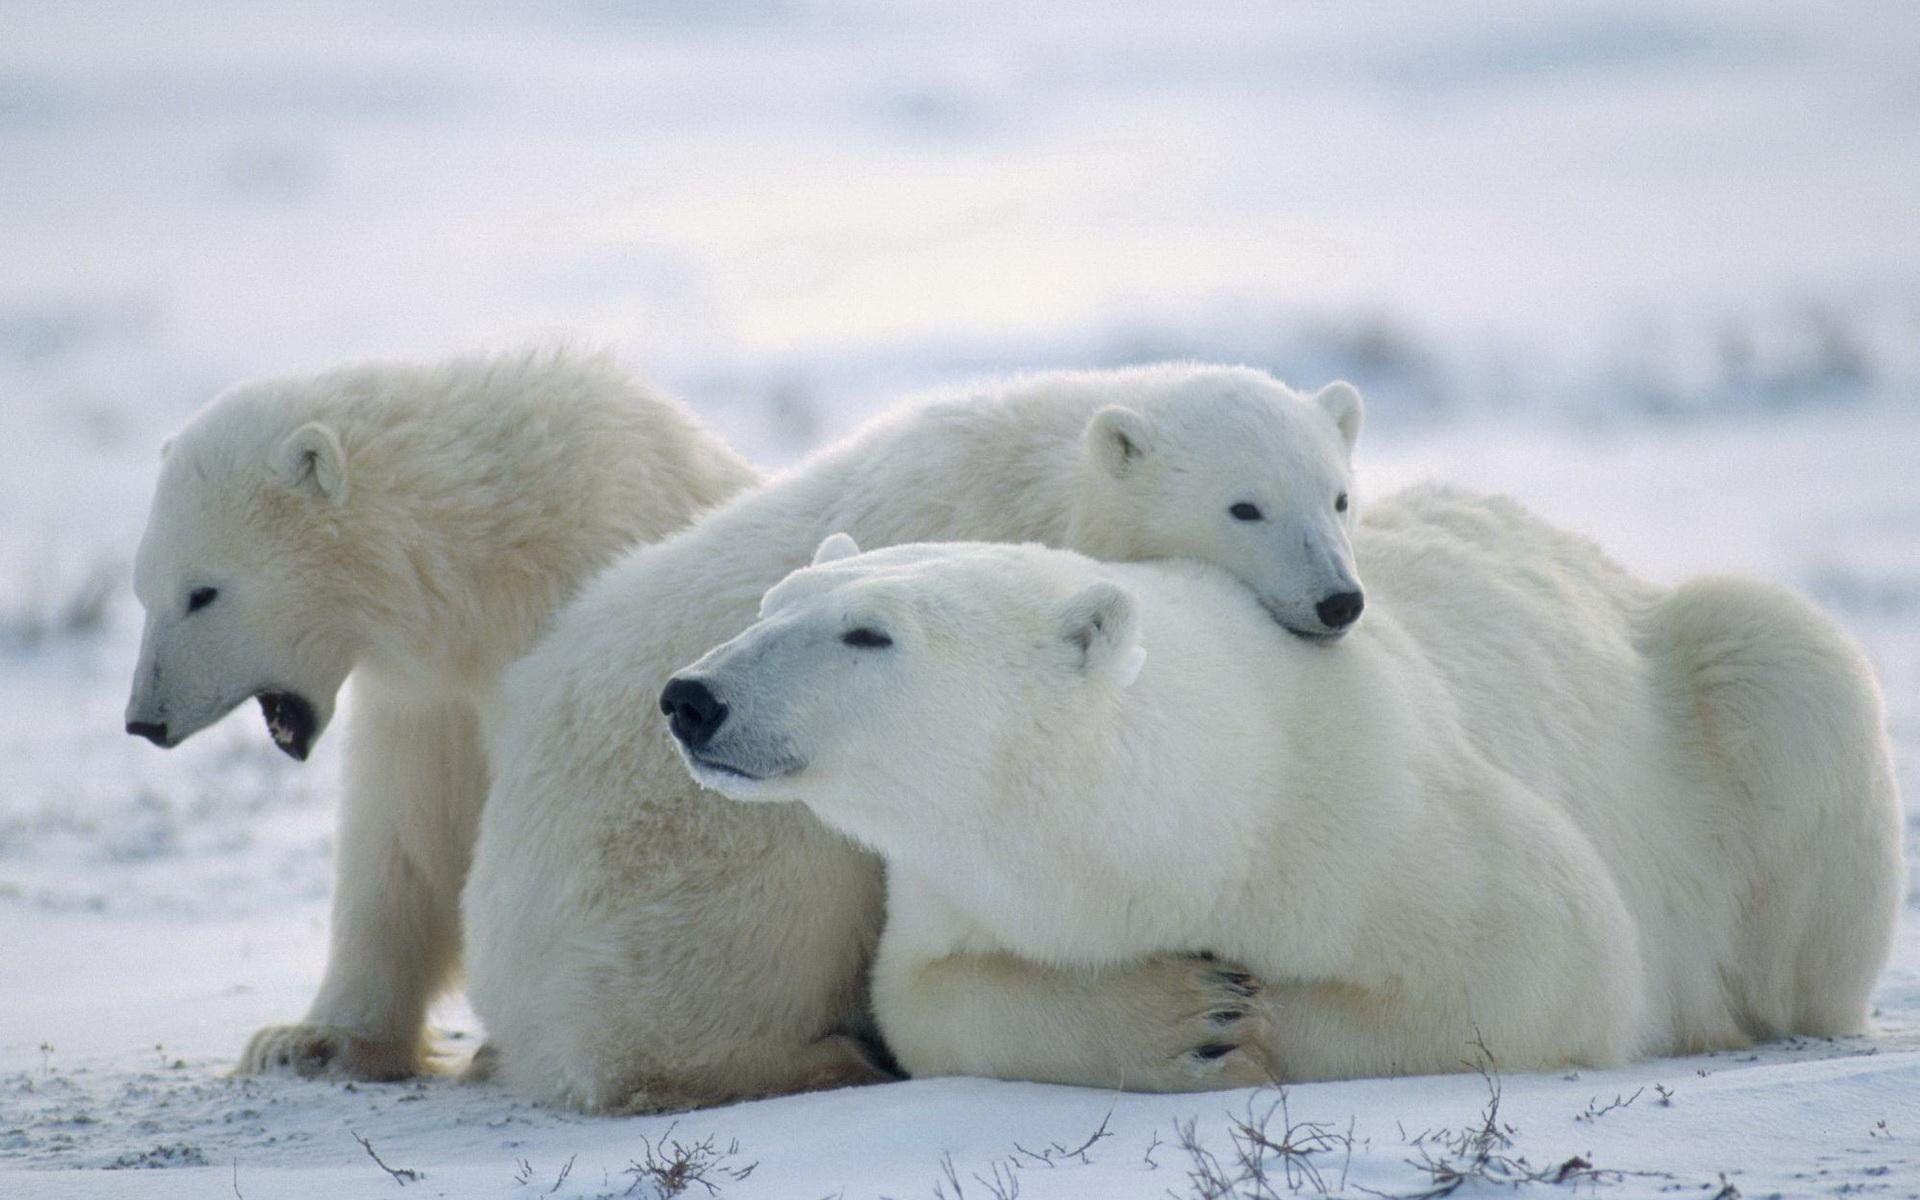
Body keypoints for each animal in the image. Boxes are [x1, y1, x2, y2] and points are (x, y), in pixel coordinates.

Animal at [123, 347, 758, 1081]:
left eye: (203, 593)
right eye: (142, 590)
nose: (144, 720)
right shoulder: (428, 700)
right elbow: (403, 837)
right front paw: (308, 1040)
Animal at [461, 363, 1366, 1112]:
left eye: (1339, 496)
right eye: (1245, 505)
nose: (1339, 600)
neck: (1049, 475)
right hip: (672, 865)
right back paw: (819, 1060)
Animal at [667, 505, 1903, 1089]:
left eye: (868, 634)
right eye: (774, 601)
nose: (691, 698)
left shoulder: (1378, 814)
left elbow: (1551, 962)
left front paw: (1248, 1020)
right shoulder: (957, 892)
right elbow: (927, 1001)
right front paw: (1188, 1020)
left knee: (1782, 658)